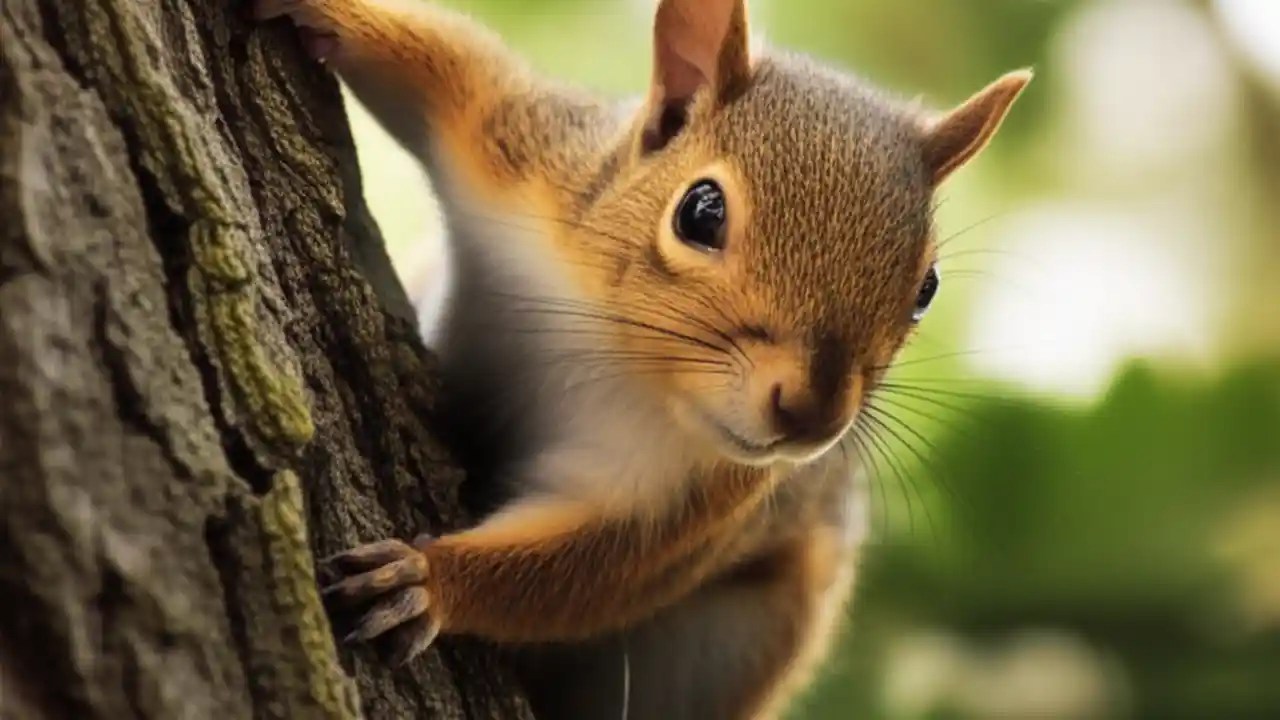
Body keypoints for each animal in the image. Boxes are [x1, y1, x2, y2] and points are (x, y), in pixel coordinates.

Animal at [253, 0, 1030, 718]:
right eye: (700, 212)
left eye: (926, 288)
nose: (811, 415)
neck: (617, 346)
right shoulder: (525, 157)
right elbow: (440, 64)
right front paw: (326, 12)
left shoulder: (699, 498)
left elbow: (587, 572)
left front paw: (428, 582)